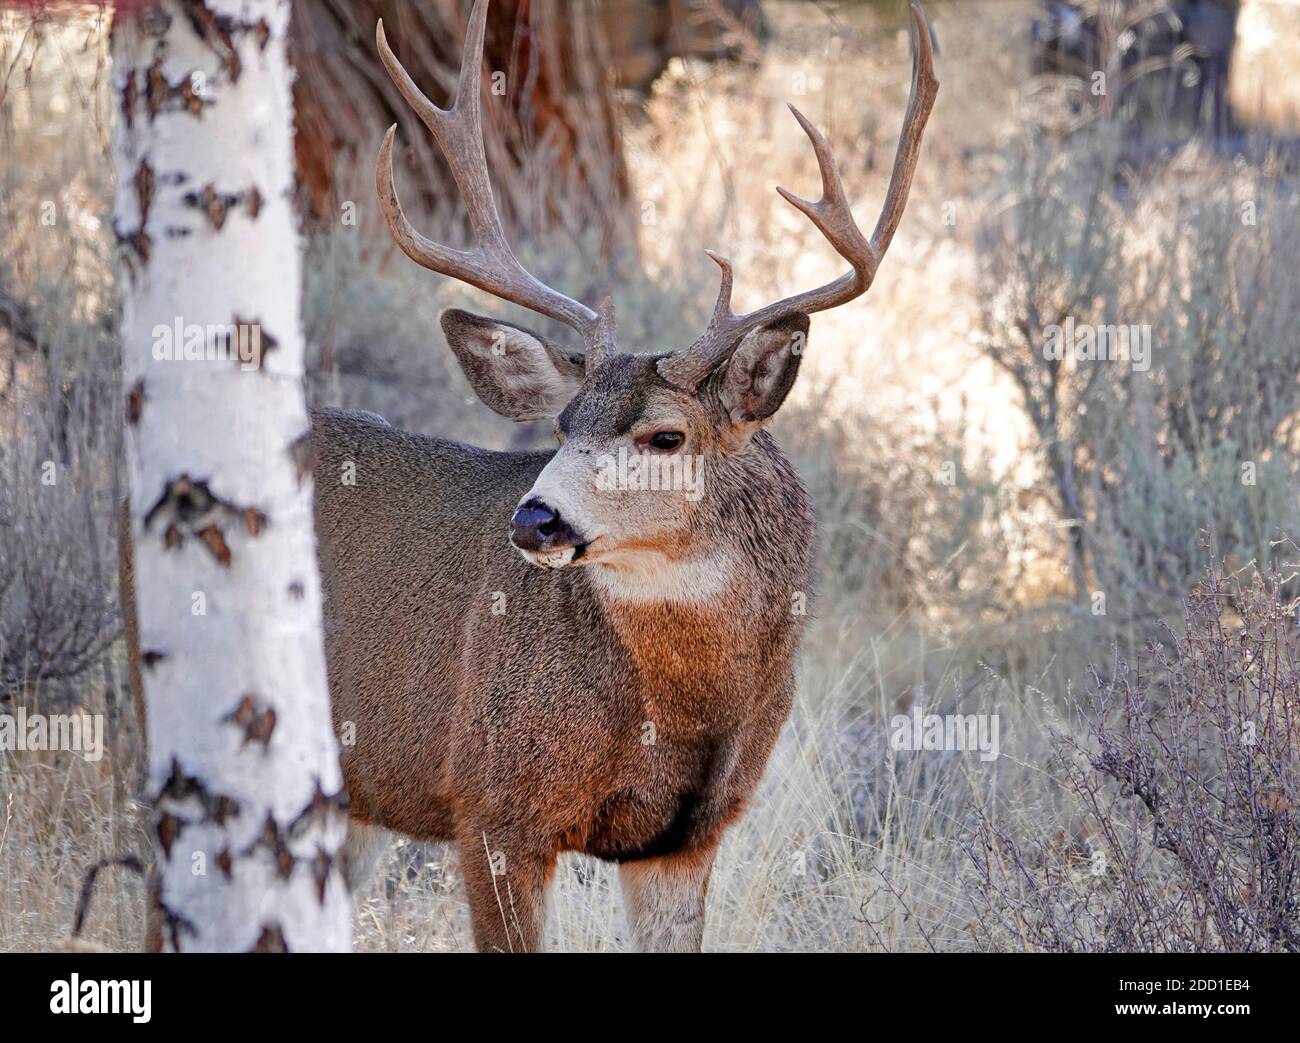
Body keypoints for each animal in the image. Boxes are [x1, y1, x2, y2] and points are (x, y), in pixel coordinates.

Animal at [123, 0, 936, 952]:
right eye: (561, 423)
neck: (680, 708)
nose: (535, 519)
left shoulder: (686, 839)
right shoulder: (491, 802)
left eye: (666, 435)